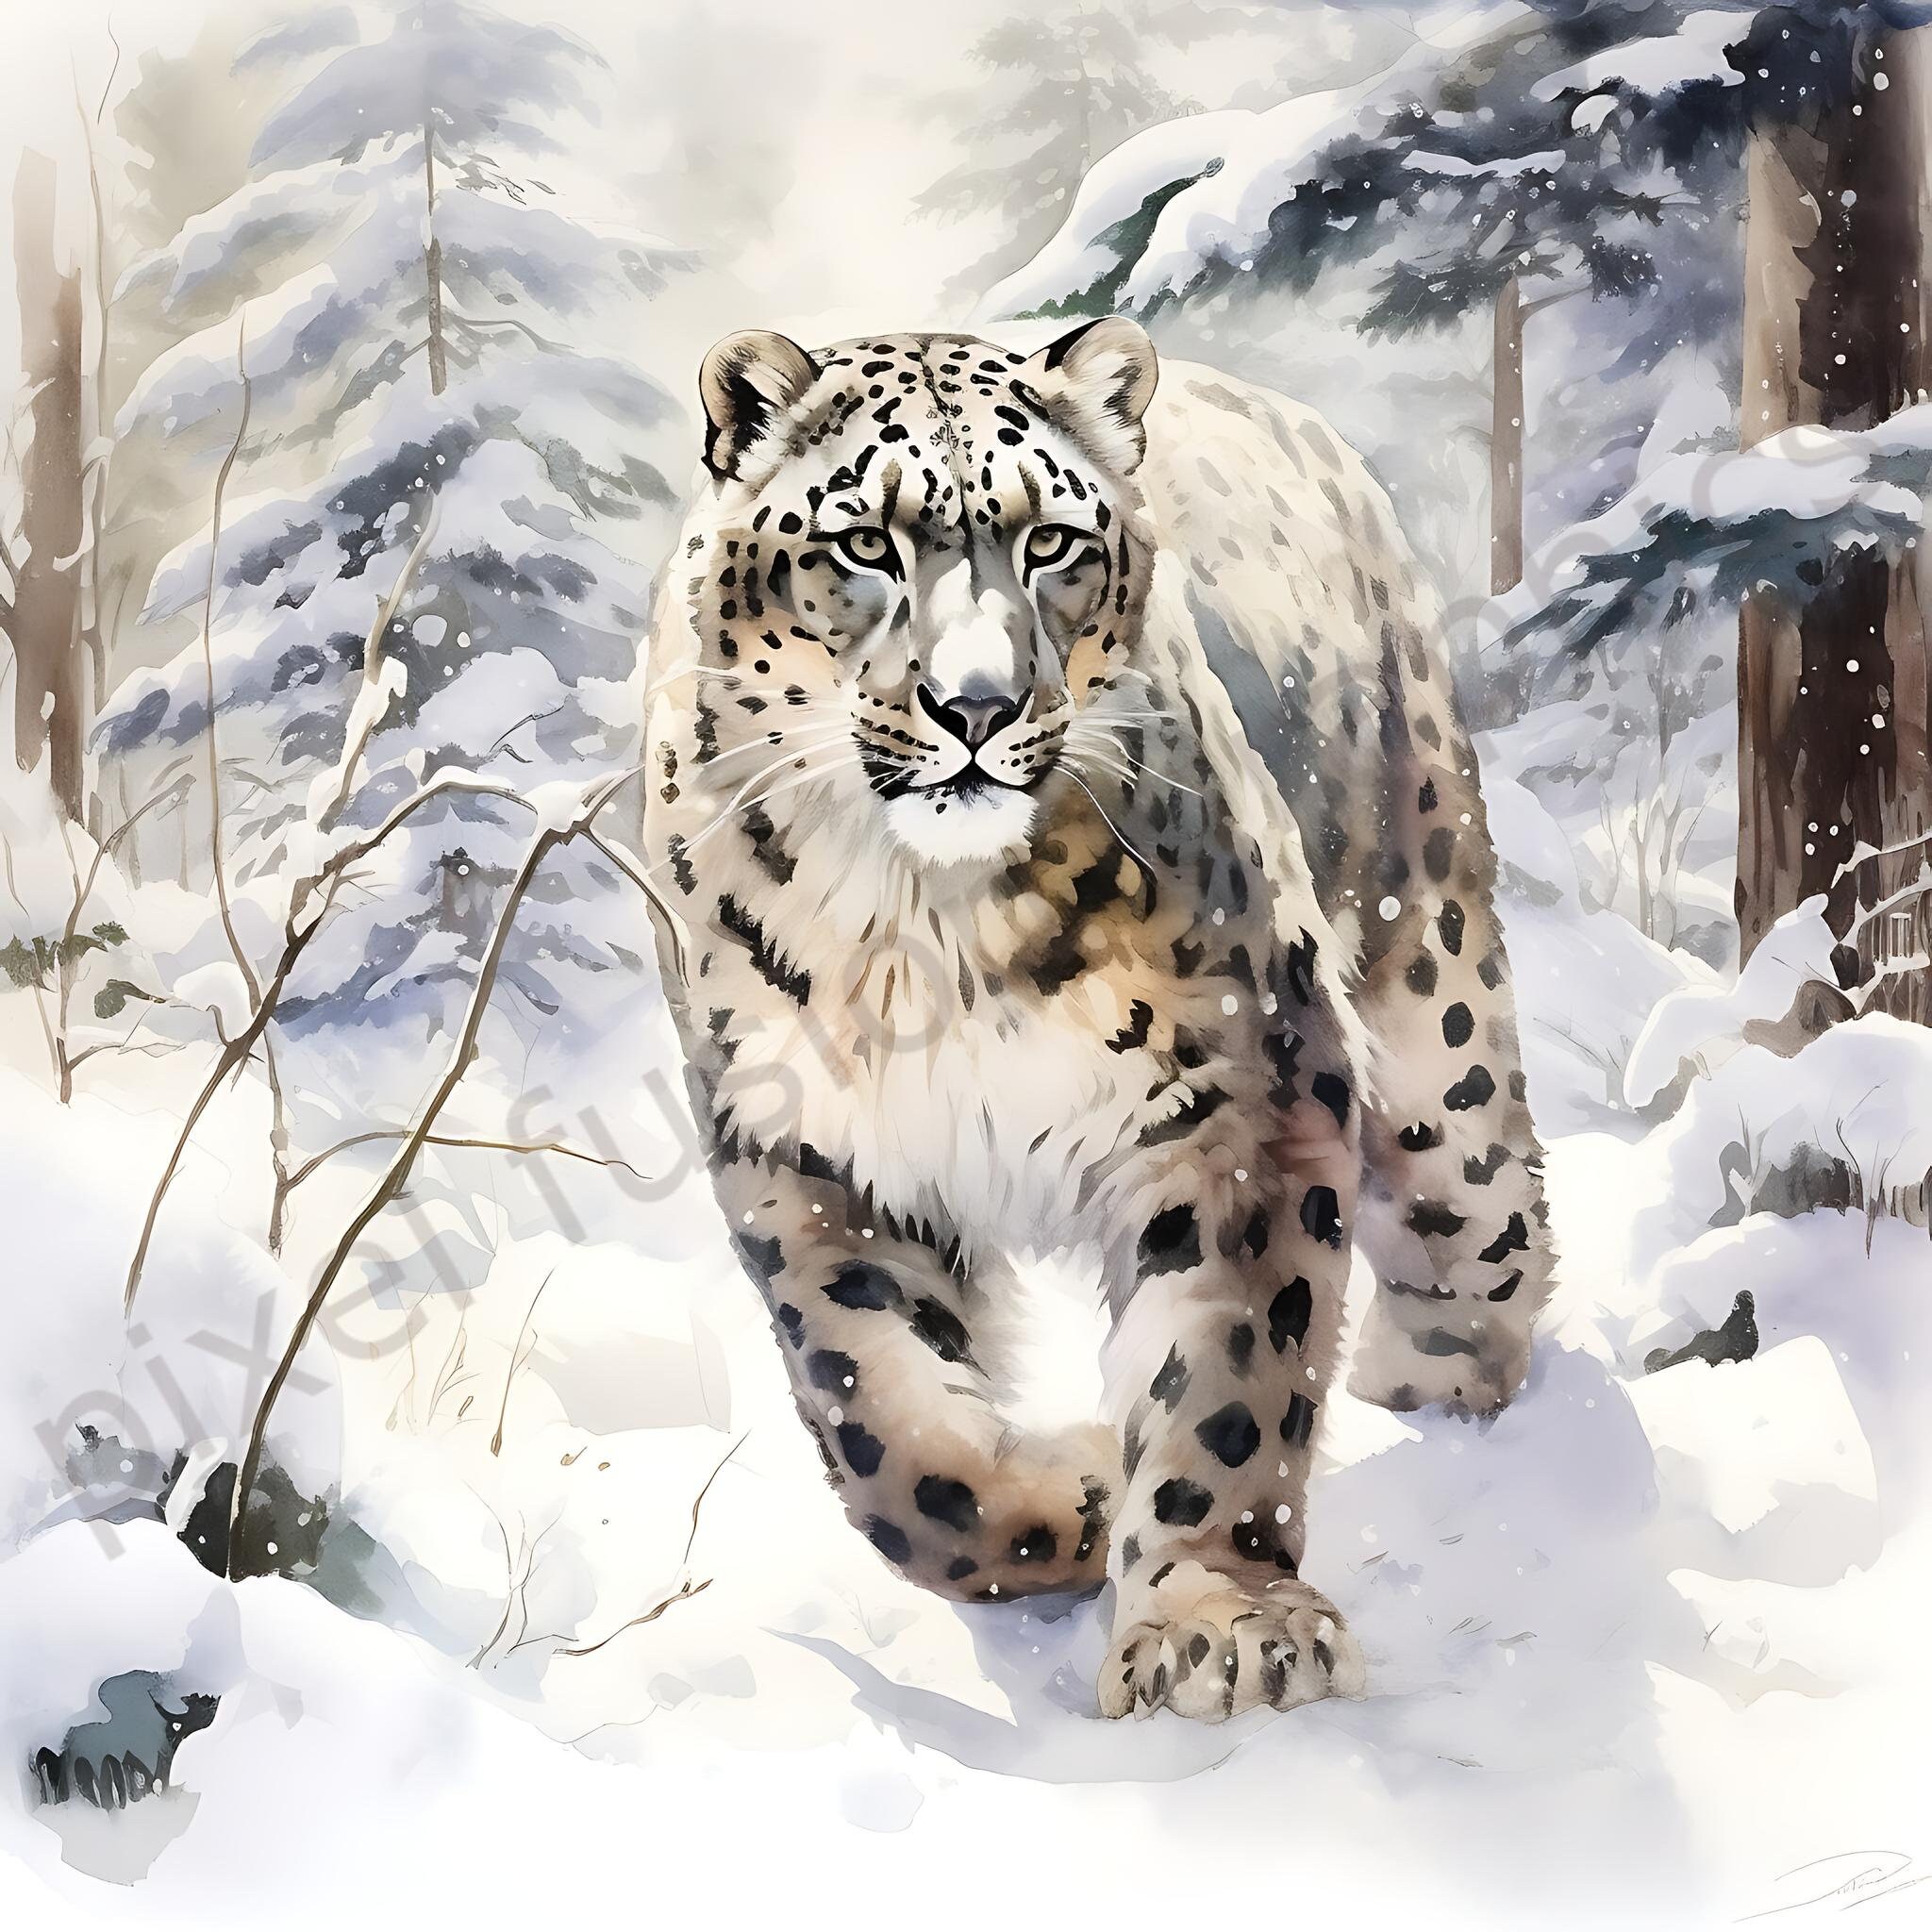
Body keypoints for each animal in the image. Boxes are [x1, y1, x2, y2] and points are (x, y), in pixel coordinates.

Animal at [640, 316, 1554, 1724]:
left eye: (1051, 542)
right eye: (864, 542)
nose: (976, 705)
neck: (919, 921)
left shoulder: (1245, 1081)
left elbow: (1232, 1372)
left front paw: (1220, 1622)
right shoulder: (798, 1143)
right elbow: (882, 1427)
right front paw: (1068, 1495)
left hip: (1425, 963)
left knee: (1478, 1180)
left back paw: (1440, 1374)